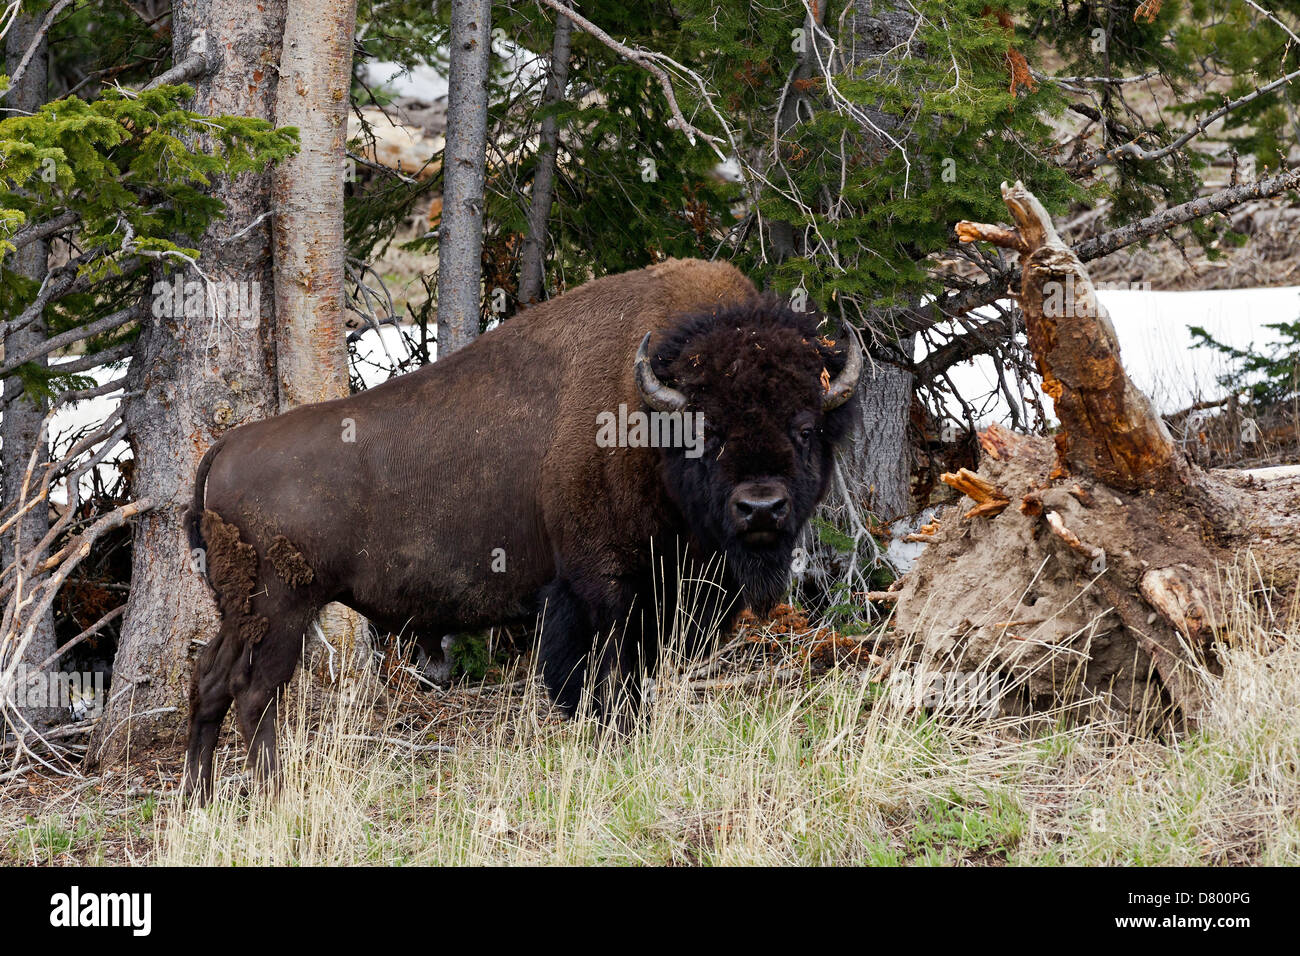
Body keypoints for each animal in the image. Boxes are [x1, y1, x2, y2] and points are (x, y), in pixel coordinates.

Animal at [182, 257, 860, 799]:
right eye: (707, 431)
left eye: (805, 427)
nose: (761, 507)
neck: (648, 422)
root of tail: (224, 450)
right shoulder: (602, 589)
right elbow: (605, 684)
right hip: (282, 611)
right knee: (253, 694)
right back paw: (271, 795)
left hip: (243, 614)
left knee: (210, 680)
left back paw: (201, 798)